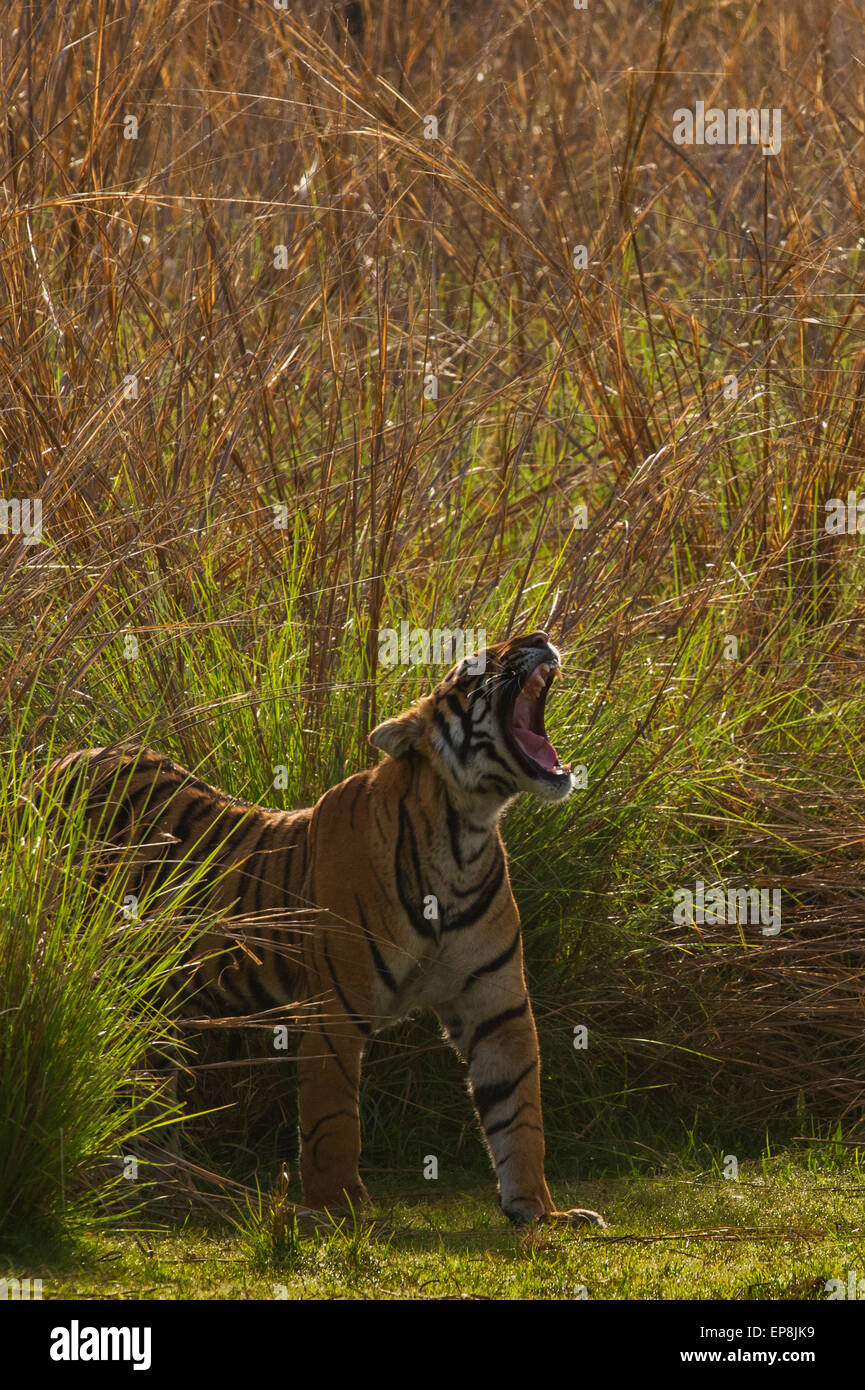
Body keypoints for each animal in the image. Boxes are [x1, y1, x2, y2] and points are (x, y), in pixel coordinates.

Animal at [34, 630, 604, 1227]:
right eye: (474, 665)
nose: (540, 637)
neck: (463, 835)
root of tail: (65, 757)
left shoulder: (499, 1008)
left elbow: (519, 1113)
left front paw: (540, 1210)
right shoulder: (335, 1008)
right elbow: (333, 1120)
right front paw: (338, 1207)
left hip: (158, 998)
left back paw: (169, 1188)